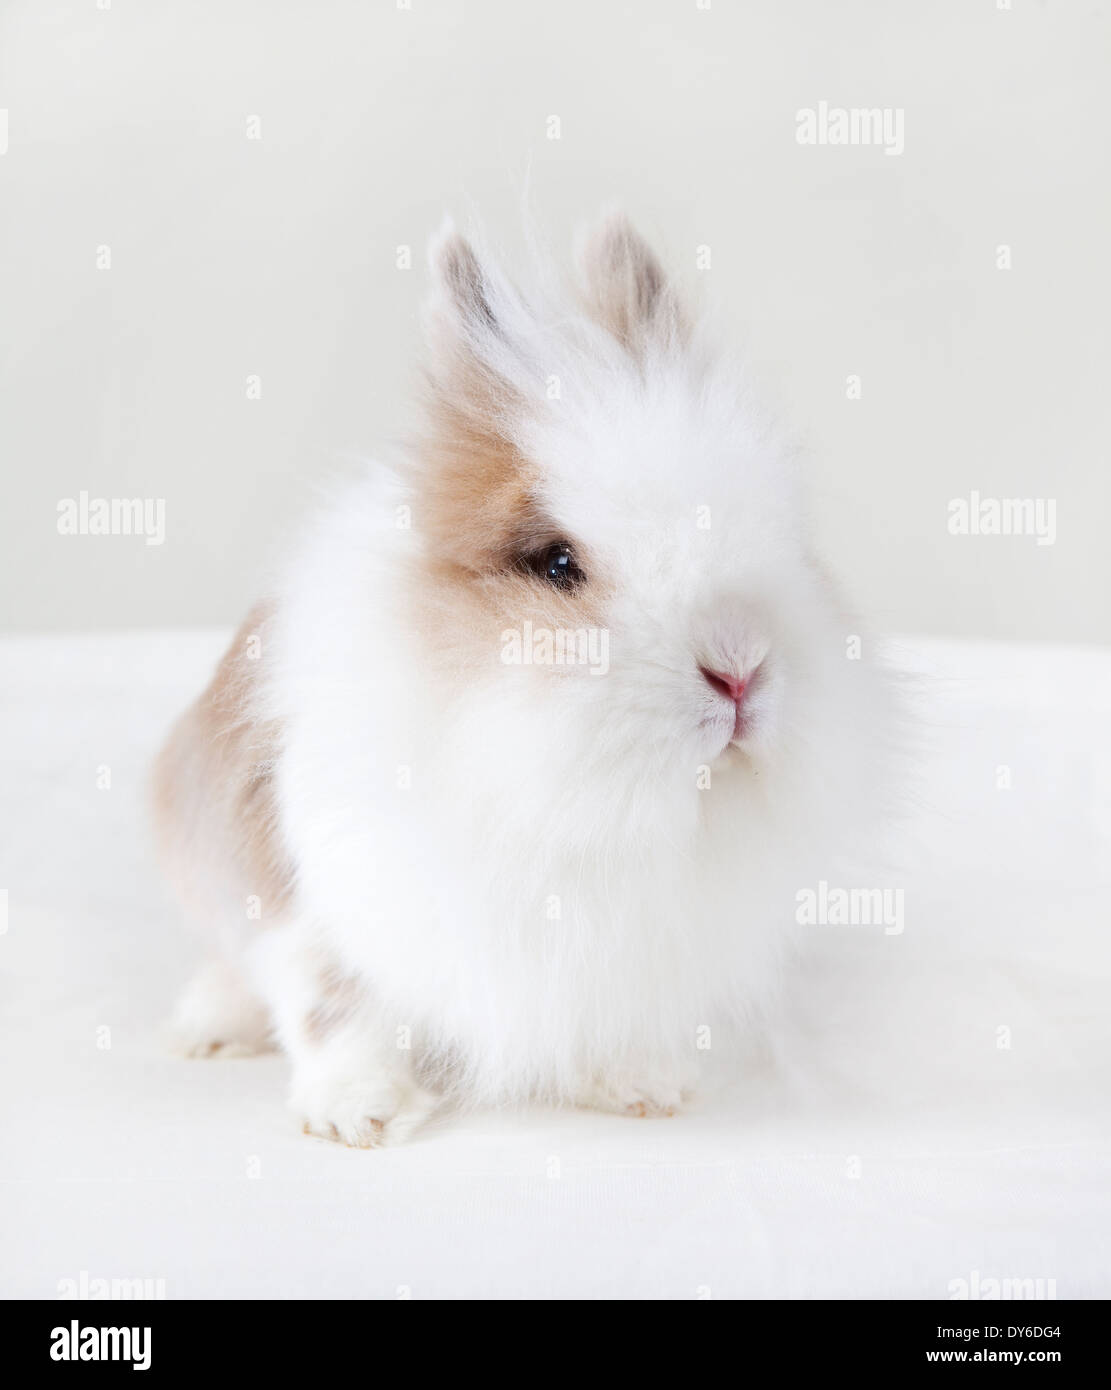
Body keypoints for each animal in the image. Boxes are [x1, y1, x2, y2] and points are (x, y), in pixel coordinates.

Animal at [152, 212, 892, 1146]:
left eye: (784, 532)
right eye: (556, 563)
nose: (739, 670)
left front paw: (643, 1086)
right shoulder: (319, 899)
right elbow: (333, 1008)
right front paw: (361, 1114)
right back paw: (207, 1030)